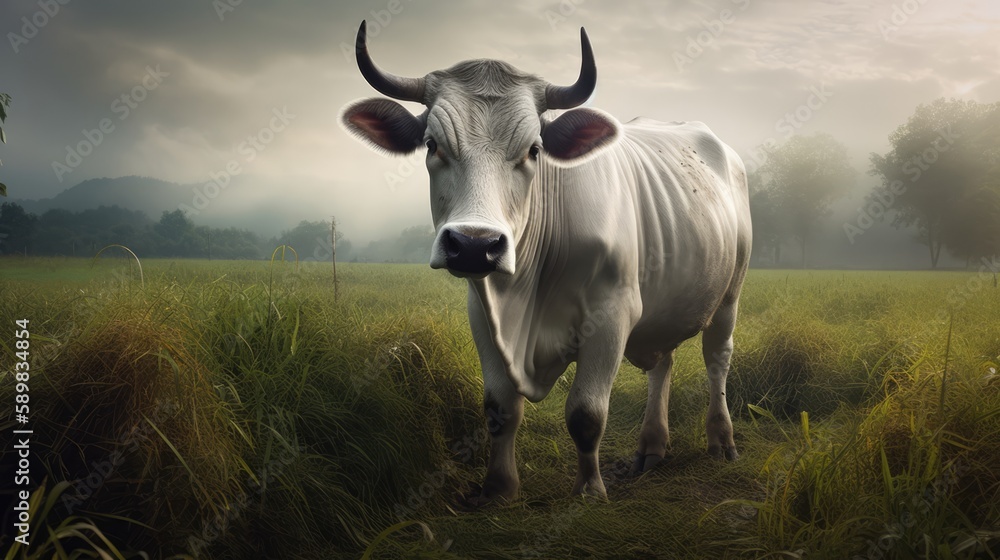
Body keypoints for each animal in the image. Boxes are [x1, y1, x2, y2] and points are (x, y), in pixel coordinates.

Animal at [341, 21, 752, 504]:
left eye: (534, 150)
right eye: (431, 144)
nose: (474, 244)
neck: (524, 294)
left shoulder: (611, 315)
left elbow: (586, 413)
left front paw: (590, 490)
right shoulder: (482, 314)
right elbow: (499, 408)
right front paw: (498, 488)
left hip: (730, 295)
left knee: (716, 359)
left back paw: (721, 439)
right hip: (662, 307)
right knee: (662, 363)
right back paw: (652, 446)